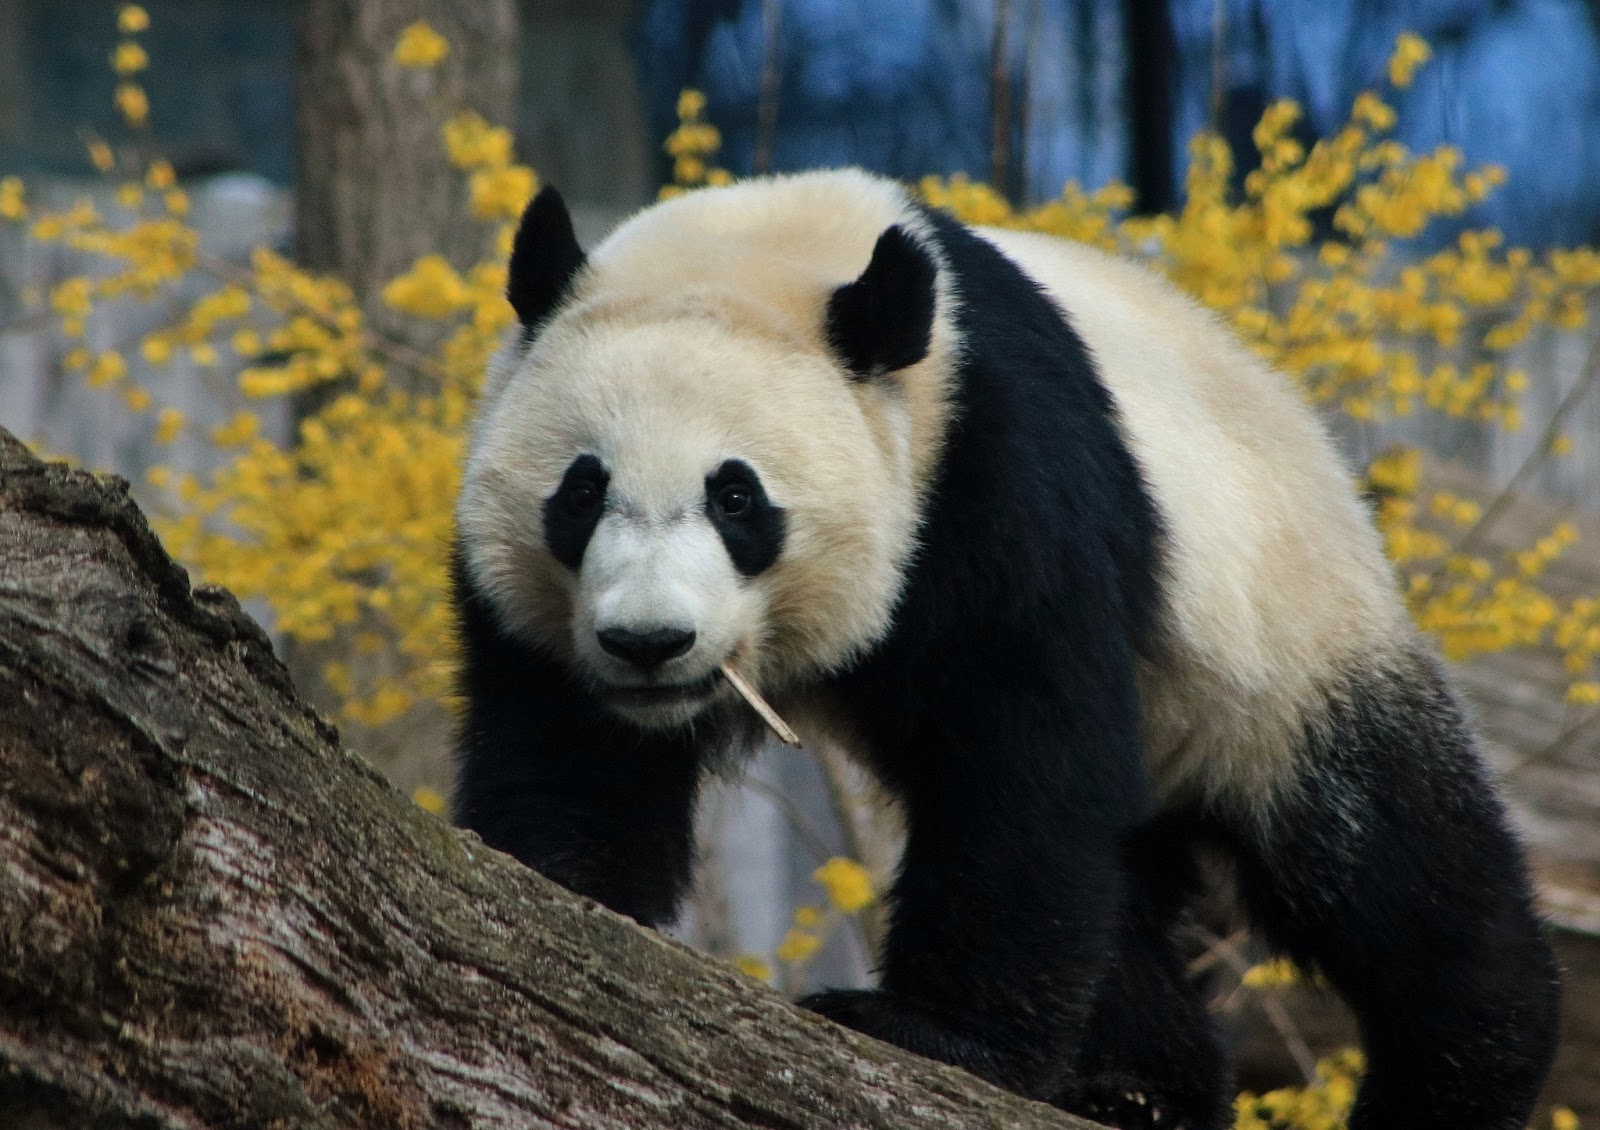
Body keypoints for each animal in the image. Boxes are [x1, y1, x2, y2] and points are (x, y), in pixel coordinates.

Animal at [453, 169, 1559, 1129]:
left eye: (737, 497)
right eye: (581, 491)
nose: (649, 641)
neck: (778, 247)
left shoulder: (996, 467)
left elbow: (1024, 758)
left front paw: (921, 1030)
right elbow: (570, 746)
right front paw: (562, 897)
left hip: (1282, 634)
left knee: (1384, 854)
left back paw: (1468, 1067)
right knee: (1133, 890)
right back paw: (1137, 1091)